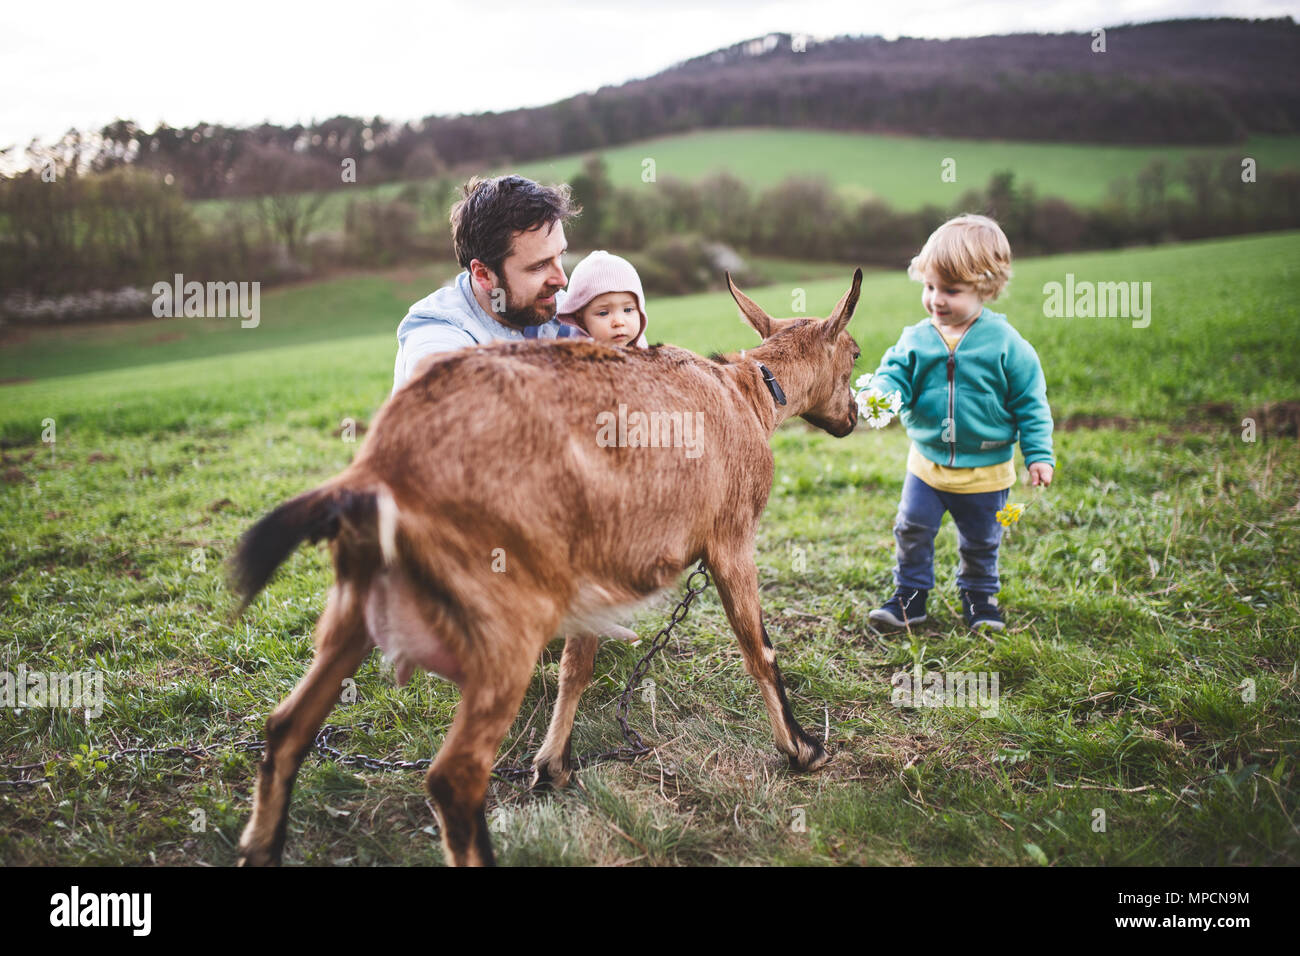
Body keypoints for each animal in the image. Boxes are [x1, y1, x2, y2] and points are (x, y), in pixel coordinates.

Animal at [231, 269, 863, 866]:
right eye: (855, 353)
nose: (855, 416)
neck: (748, 393)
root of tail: (379, 470)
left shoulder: (590, 574)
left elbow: (575, 669)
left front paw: (552, 767)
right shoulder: (731, 540)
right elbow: (760, 650)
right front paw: (803, 750)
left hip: (353, 606)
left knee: (285, 728)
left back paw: (260, 845)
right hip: (505, 615)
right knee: (454, 776)